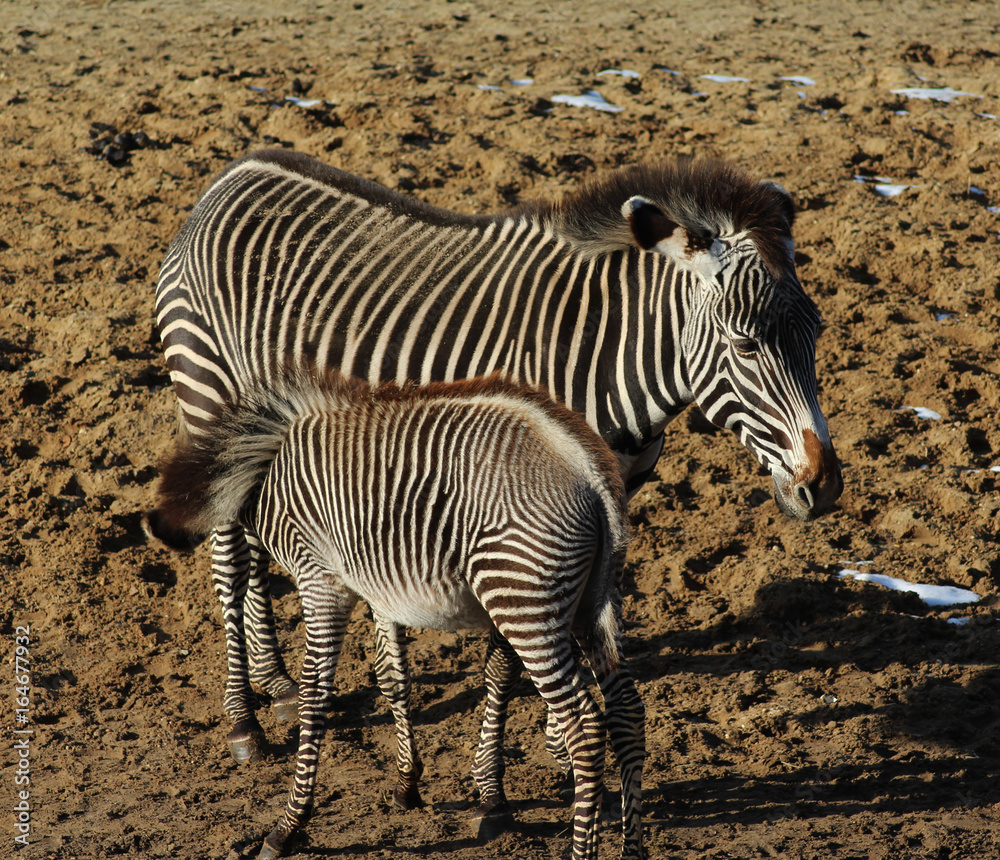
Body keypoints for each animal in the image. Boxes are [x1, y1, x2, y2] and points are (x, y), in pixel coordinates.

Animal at [145, 367, 645, 860]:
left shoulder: (320, 580)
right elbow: (391, 675)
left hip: (523, 599)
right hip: (589, 604)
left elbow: (314, 694)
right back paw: (631, 849)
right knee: (627, 711)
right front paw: (407, 784)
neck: (263, 474)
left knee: (585, 726)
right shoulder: (376, 583)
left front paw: (289, 826)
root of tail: (589, 474)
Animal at [154, 149, 842, 775]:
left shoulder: (606, 493)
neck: (607, 355)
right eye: (745, 345)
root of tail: (232, 174)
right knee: (227, 553)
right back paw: (243, 721)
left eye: (818, 333)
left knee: (248, 537)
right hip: (207, 395)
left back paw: (276, 683)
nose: (824, 485)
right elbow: (504, 657)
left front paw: (560, 743)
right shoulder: (513, 495)